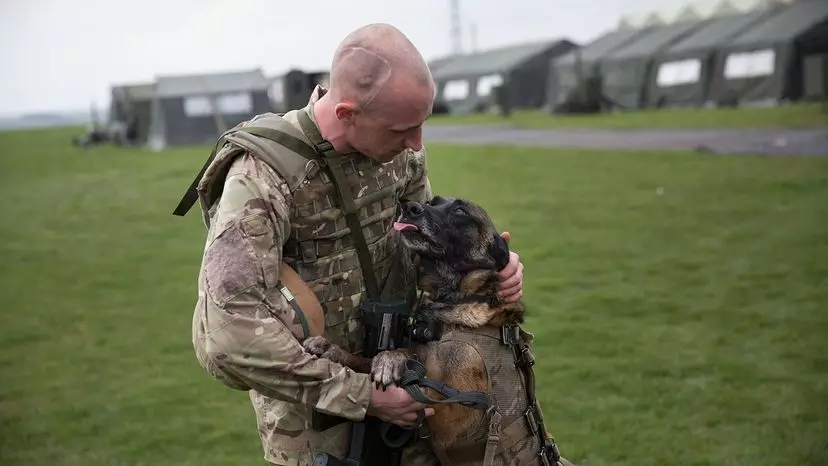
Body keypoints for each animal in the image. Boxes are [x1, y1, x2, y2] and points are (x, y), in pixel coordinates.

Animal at [304, 196, 544, 462]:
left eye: (460, 211)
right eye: (432, 201)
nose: (409, 207)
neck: (455, 303)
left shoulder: (450, 417)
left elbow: (414, 365)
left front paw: (393, 358)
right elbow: (368, 361)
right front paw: (331, 348)